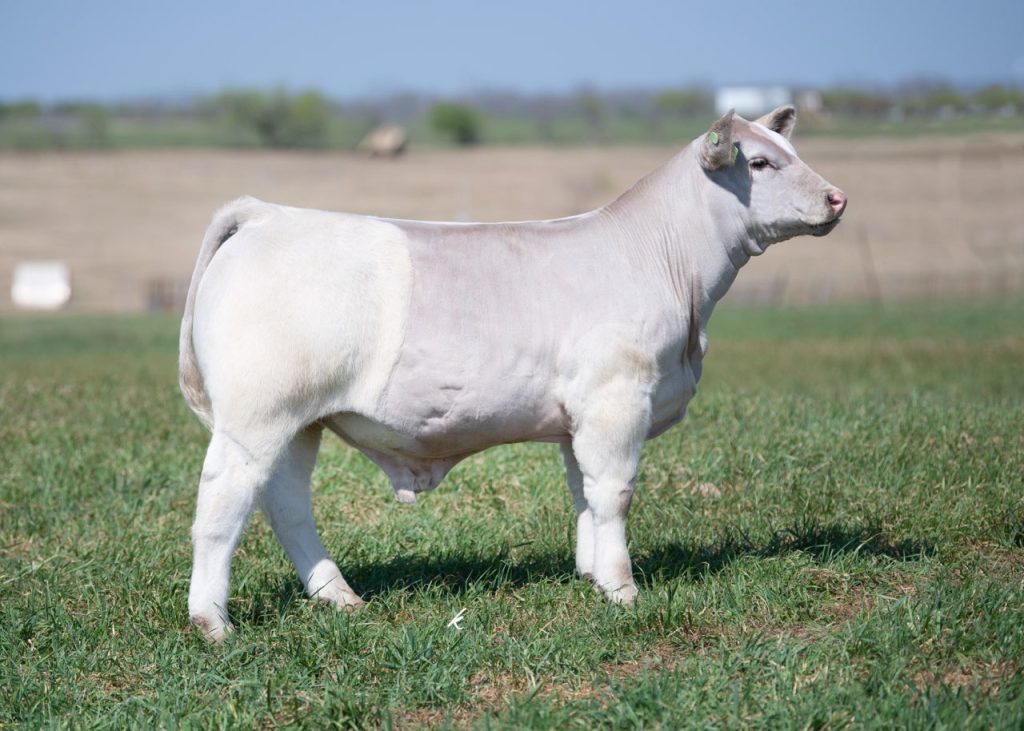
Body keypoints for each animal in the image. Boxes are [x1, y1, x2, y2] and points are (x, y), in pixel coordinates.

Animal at [179, 107, 846, 641]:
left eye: (792, 151)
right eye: (759, 162)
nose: (838, 198)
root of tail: (266, 215)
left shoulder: (579, 417)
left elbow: (583, 492)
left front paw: (591, 576)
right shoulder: (617, 398)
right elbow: (615, 493)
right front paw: (623, 591)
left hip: (300, 423)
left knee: (287, 504)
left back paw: (339, 597)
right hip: (257, 417)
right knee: (222, 504)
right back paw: (214, 622)